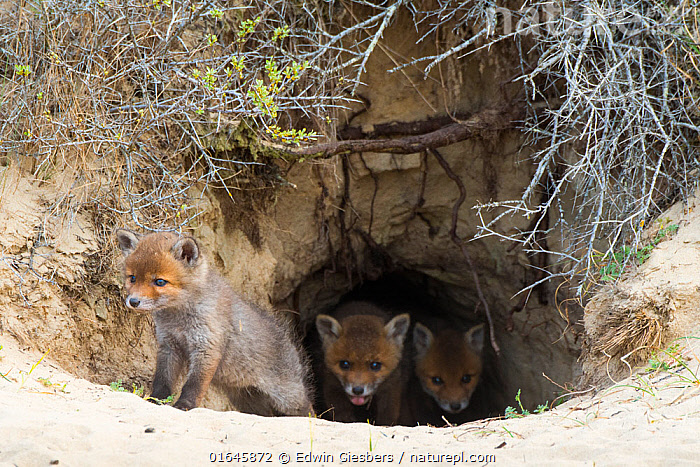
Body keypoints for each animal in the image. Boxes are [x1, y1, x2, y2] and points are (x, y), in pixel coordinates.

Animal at [115, 228, 313, 416]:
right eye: (132, 278)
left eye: (160, 282)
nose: (133, 301)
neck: (178, 320)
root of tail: (288, 340)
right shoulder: (169, 346)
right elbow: (162, 380)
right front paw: (154, 401)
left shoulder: (207, 346)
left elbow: (193, 385)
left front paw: (185, 406)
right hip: (245, 399)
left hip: (287, 398)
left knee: (308, 409)